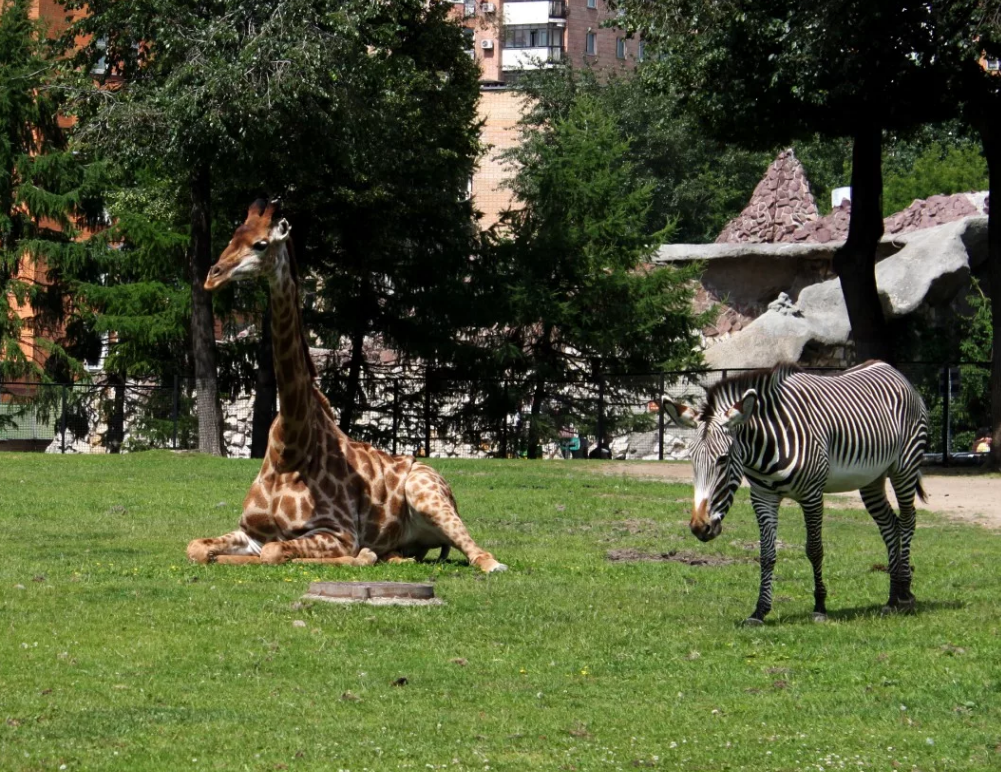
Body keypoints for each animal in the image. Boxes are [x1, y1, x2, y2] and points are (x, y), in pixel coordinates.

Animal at [185, 199, 508, 572]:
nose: (213, 275)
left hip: (428, 494)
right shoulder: (250, 532)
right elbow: (197, 547)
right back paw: (393, 556)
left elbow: (276, 552)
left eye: (260, 244)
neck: (289, 449)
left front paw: (362, 556)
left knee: (478, 553)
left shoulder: (339, 532)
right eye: (233, 236)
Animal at [664, 358, 928, 624]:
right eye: (691, 460)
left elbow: (814, 550)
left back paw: (906, 594)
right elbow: (767, 554)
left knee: (908, 521)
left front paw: (820, 606)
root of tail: (889, 368)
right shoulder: (763, 497)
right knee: (890, 525)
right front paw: (759, 611)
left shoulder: (812, 495)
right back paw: (893, 598)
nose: (700, 527)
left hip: (905, 467)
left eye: (723, 459)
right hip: (871, 478)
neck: (768, 446)